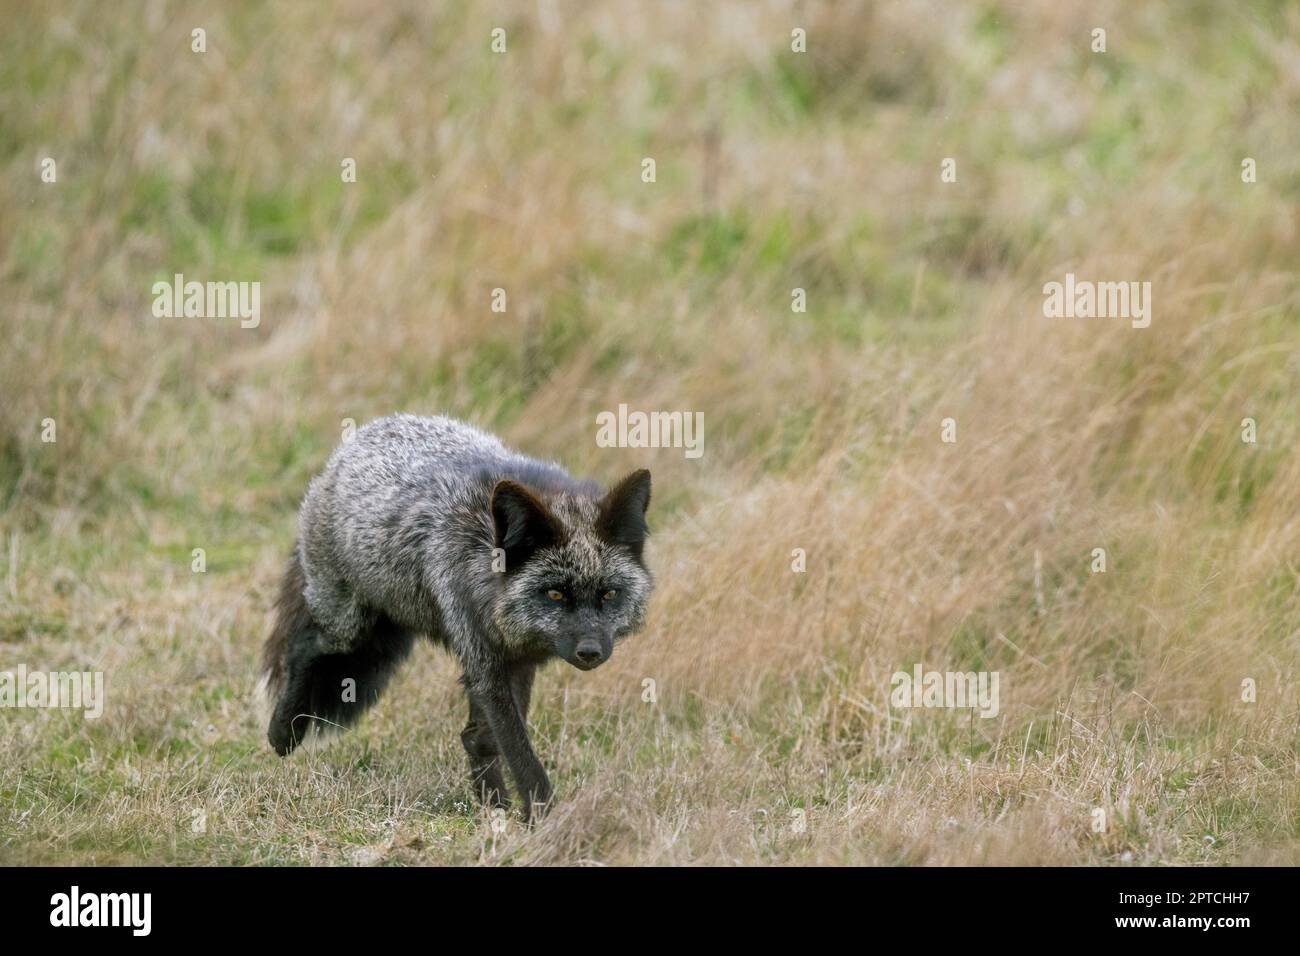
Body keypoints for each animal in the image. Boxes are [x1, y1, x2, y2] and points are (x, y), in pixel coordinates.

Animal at [259, 414, 653, 821]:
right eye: (556, 594)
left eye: (609, 594)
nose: (590, 652)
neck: (482, 555)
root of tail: (352, 445)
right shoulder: (486, 666)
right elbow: (520, 755)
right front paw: (544, 818)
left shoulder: (516, 662)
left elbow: (483, 739)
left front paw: (498, 813)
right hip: (349, 628)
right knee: (304, 646)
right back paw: (282, 733)